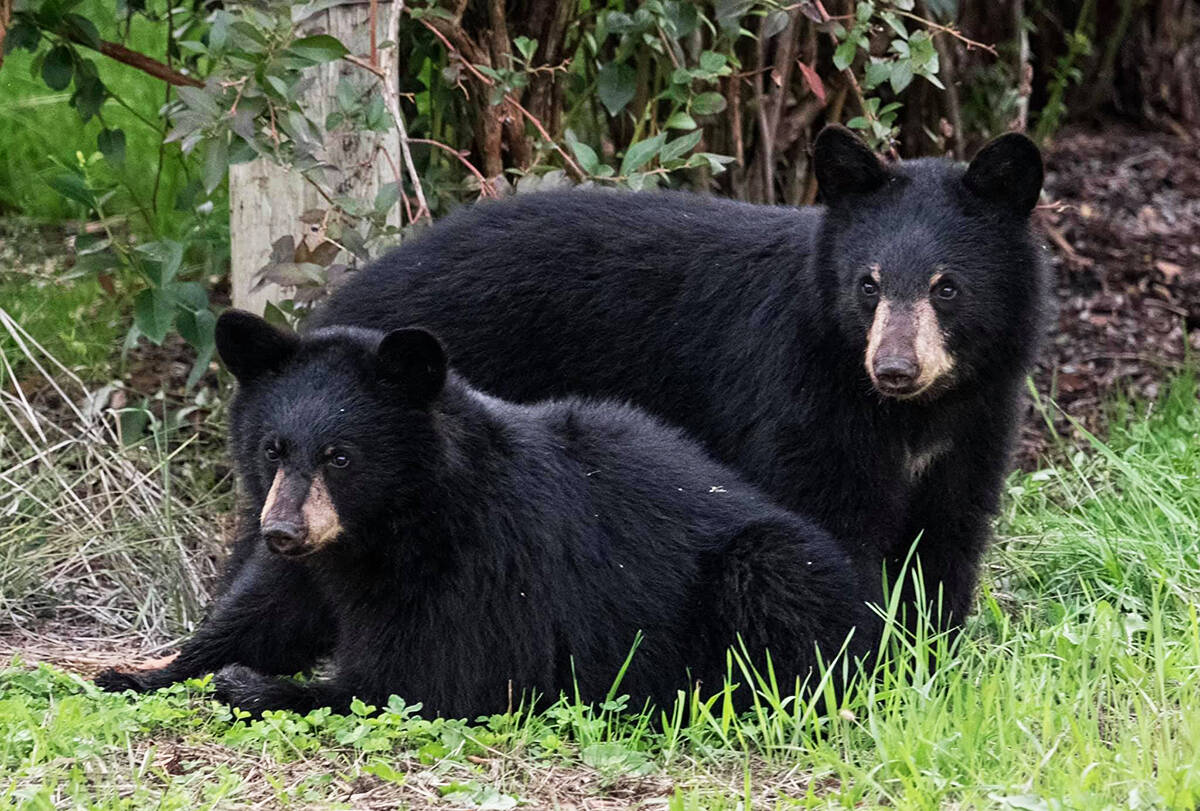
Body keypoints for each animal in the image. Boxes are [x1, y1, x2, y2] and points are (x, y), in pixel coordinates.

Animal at [102, 311, 870, 717]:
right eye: (273, 447)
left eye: (340, 455)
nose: (282, 531)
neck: (388, 525)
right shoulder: (317, 562)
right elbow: (263, 612)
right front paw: (136, 671)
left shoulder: (482, 567)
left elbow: (426, 679)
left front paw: (258, 686)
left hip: (774, 564)